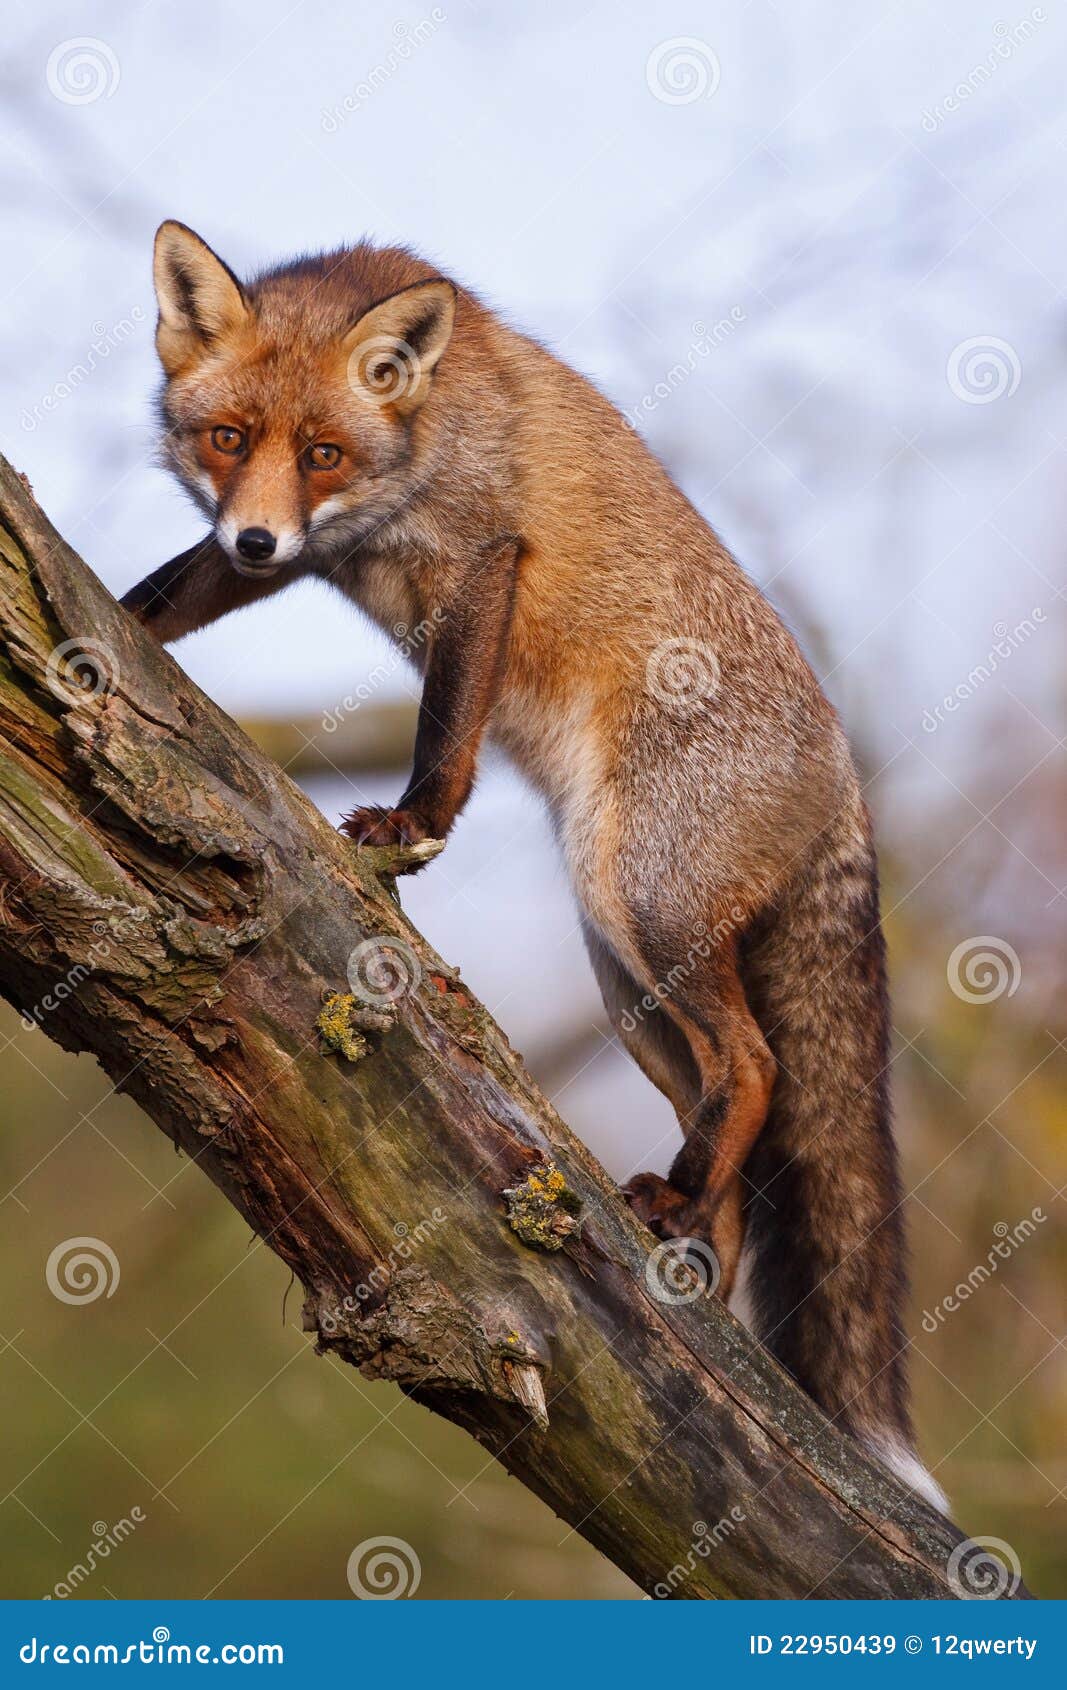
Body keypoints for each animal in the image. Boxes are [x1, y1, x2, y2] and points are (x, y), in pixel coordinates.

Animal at [123, 219, 947, 1514]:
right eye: (228, 441)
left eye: (322, 452)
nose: (256, 530)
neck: (407, 457)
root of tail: (847, 778)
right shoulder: (276, 562)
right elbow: (153, 598)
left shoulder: (480, 553)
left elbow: (445, 725)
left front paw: (413, 824)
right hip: (627, 990)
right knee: (725, 1112)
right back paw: (692, 1249)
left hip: (641, 908)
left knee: (758, 1067)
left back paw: (678, 1206)